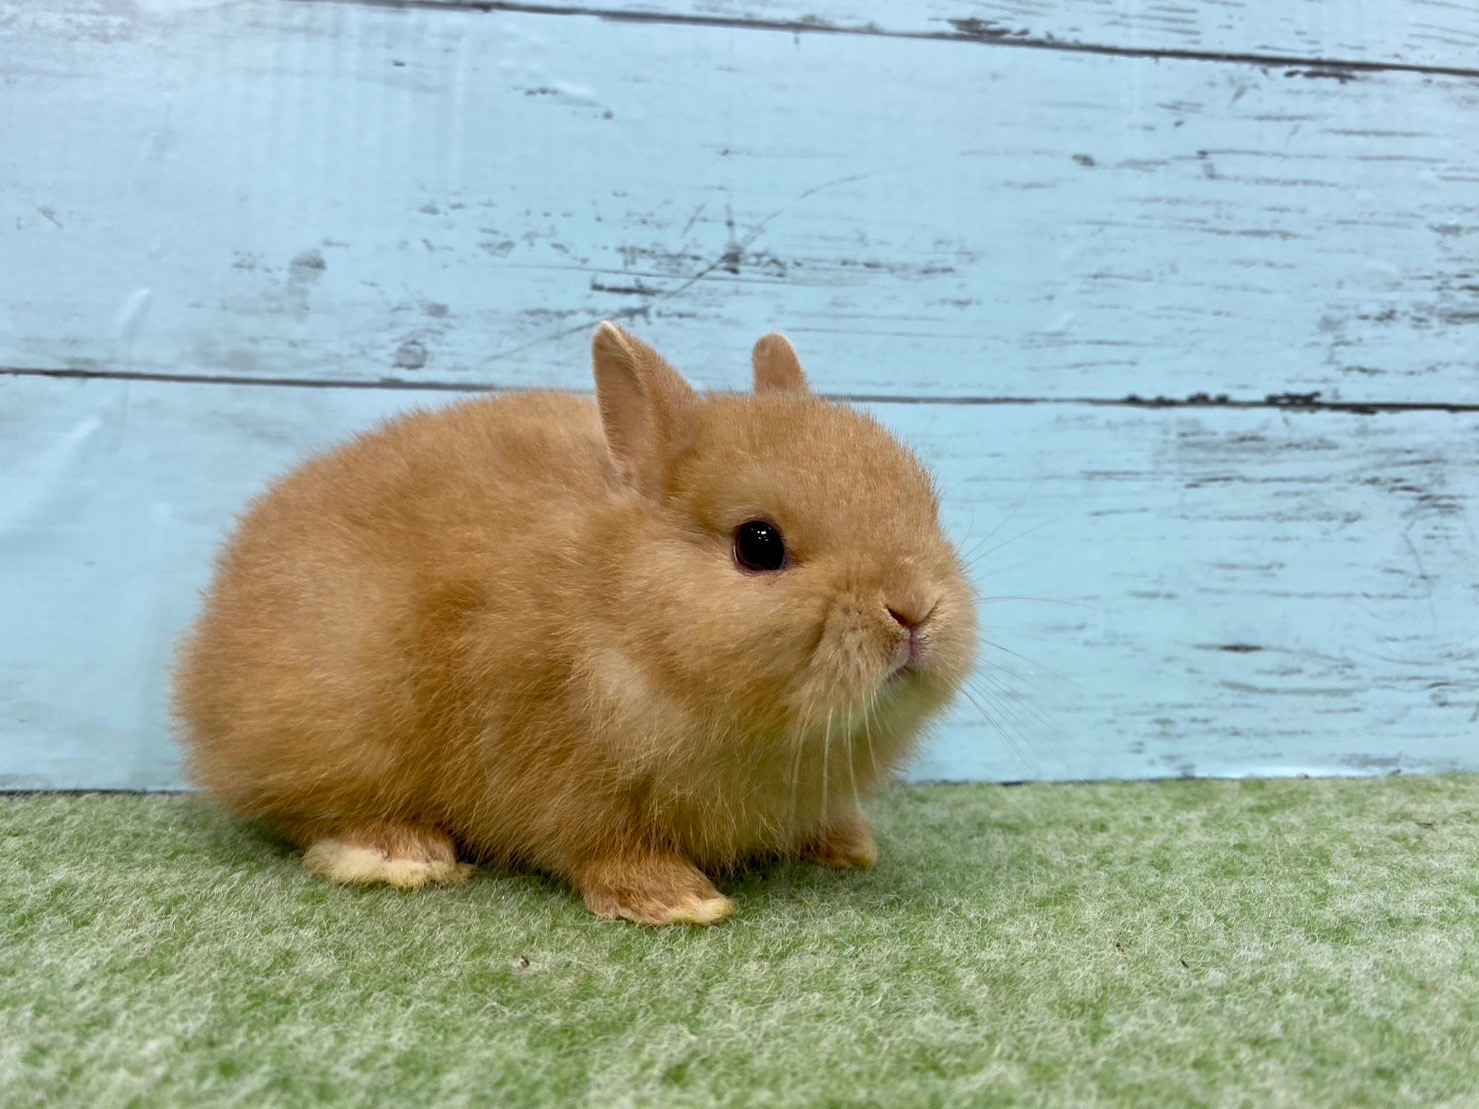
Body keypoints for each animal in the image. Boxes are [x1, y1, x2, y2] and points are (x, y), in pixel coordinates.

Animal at [173, 323, 978, 925]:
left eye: (924, 505)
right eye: (758, 545)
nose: (913, 609)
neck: (624, 609)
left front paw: (846, 845)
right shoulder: (556, 769)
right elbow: (600, 844)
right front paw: (675, 901)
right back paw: (398, 853)